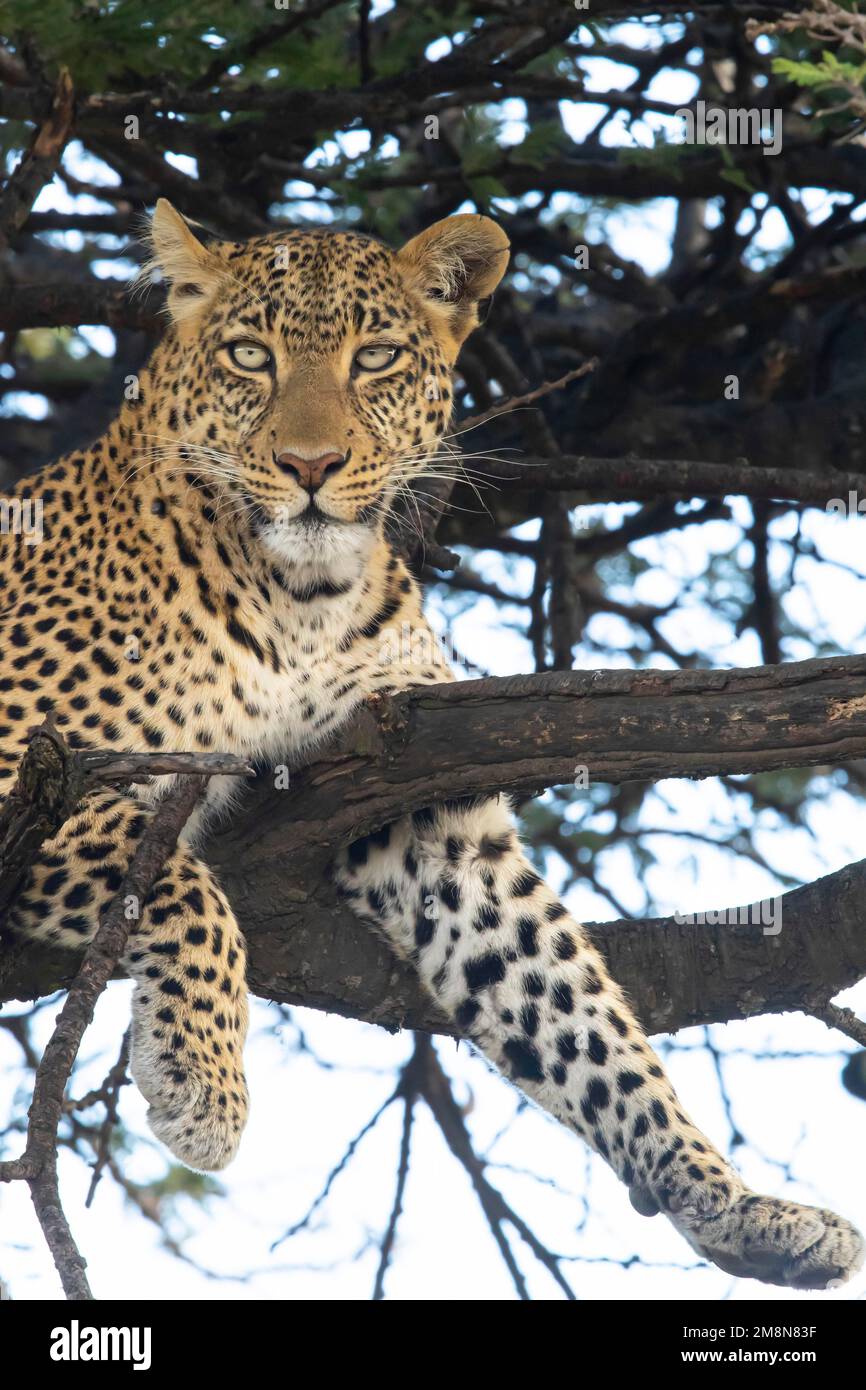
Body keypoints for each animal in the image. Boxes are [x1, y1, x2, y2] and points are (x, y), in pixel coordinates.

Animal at [1, 199, 862, 1291]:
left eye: (373, 359)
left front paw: (732, 1204)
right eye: (250, 356)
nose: (310, 468)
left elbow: (581, 1018)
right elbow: (185, 890)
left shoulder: (415, 798)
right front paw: (204, 1084)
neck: (298, 600)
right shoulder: (29, 762)